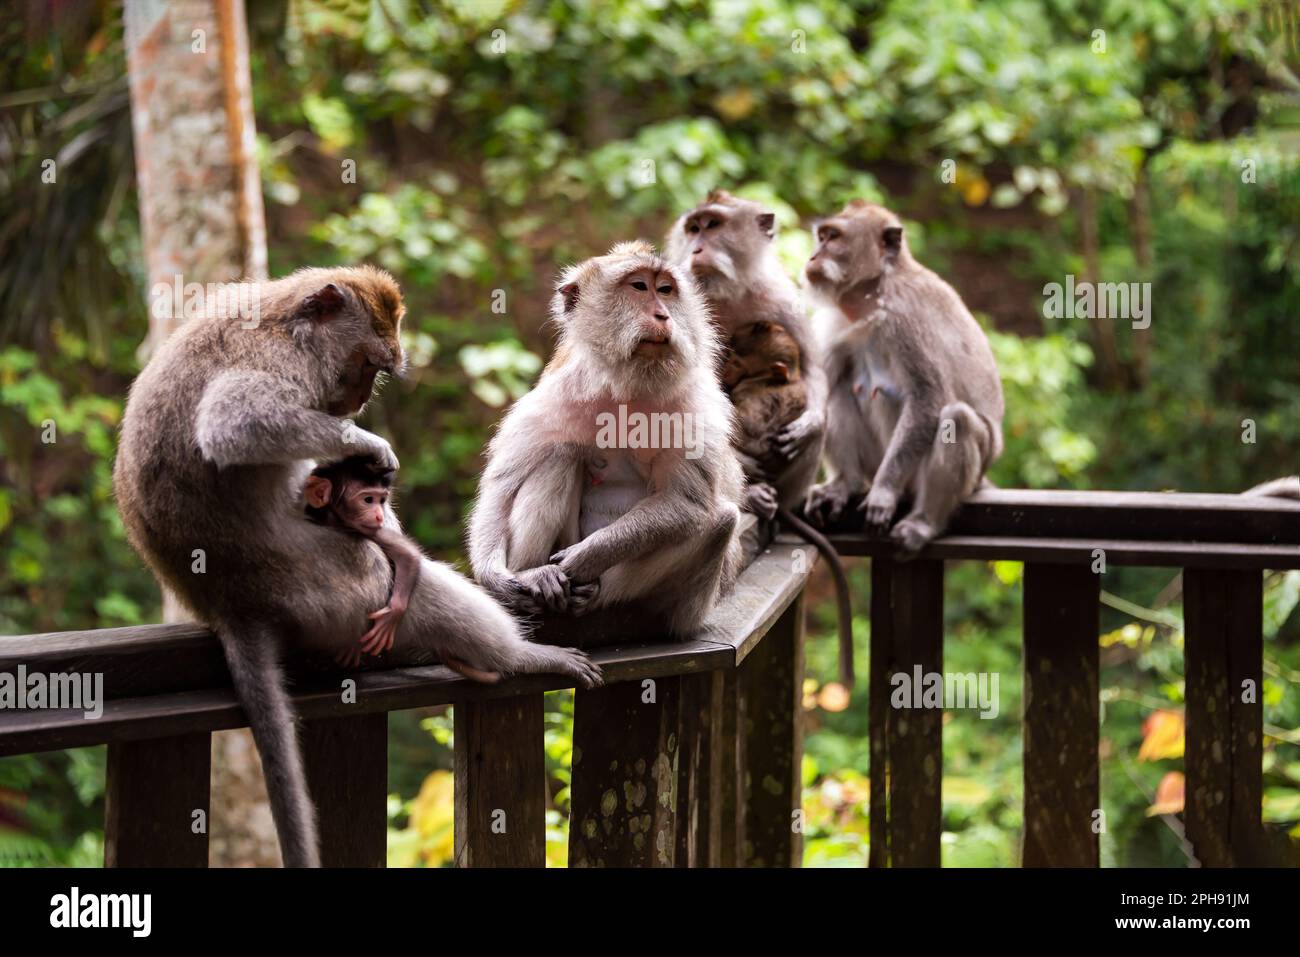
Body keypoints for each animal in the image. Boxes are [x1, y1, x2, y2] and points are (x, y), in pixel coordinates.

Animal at [302, 456, 501, 683]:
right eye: (368, 500)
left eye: (381, 500)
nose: (379, 515)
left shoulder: (372, 530)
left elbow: (408, 555)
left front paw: (389, 617)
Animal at [468, 241, 746, 638]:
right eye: (639, 287)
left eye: (665, 290)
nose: (663, 315)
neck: (627, 384)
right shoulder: (563, 385)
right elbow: (504, 480)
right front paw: (494, 574)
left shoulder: (693, 400)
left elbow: (686, 500)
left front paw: (586, 557)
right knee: (559, 455)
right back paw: (534, 578)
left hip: (687, 606)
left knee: (719, 521)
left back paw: (601, 598)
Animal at [802, 200, 1005, 554]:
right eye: (822, 236)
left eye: (834, 237)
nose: (813, 256)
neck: (872, 295)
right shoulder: (834, 321)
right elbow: (822, 385)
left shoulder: (907, 316)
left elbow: (929, 397)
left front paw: (883, 491)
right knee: (839, 388)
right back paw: (846, 482)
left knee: (958, 418)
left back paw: (924, 521)